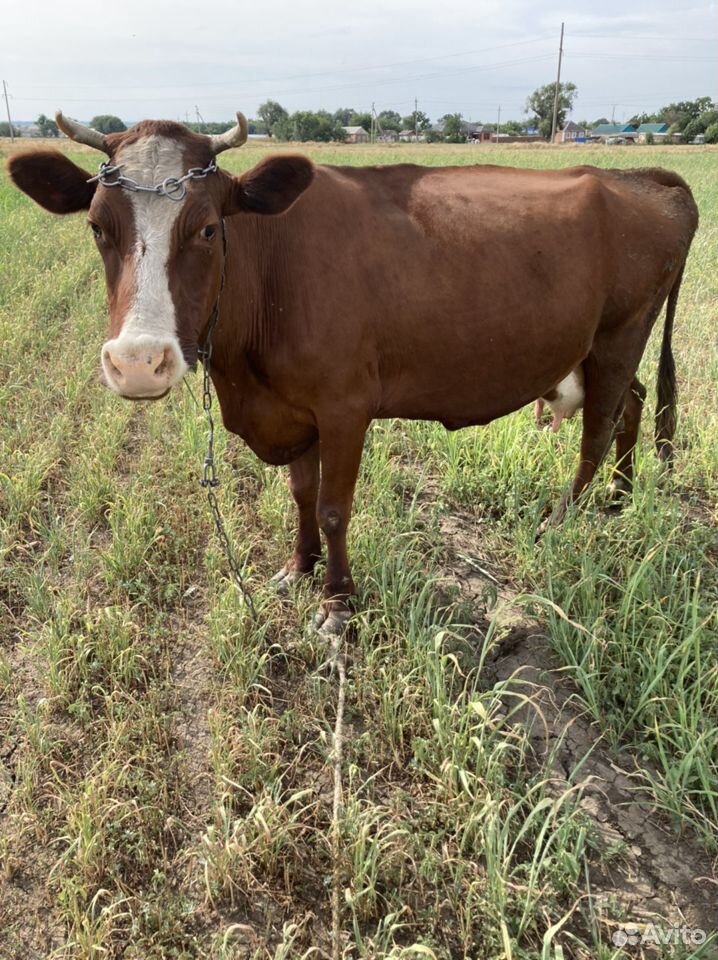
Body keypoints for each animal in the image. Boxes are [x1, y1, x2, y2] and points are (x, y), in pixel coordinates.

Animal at [7, 111, 699, 634]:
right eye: (97, 227)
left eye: (206, 228)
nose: (137, 362)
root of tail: (639, 177)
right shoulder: (292, 409)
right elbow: (300, 494)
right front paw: (299, 568)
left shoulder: (344, 406)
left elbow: (335, 505)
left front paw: (338, 604)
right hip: (604, 347)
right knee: (632, 404)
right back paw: (619, 499)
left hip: (618, 334)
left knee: (599, 428)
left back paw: (563, 520)